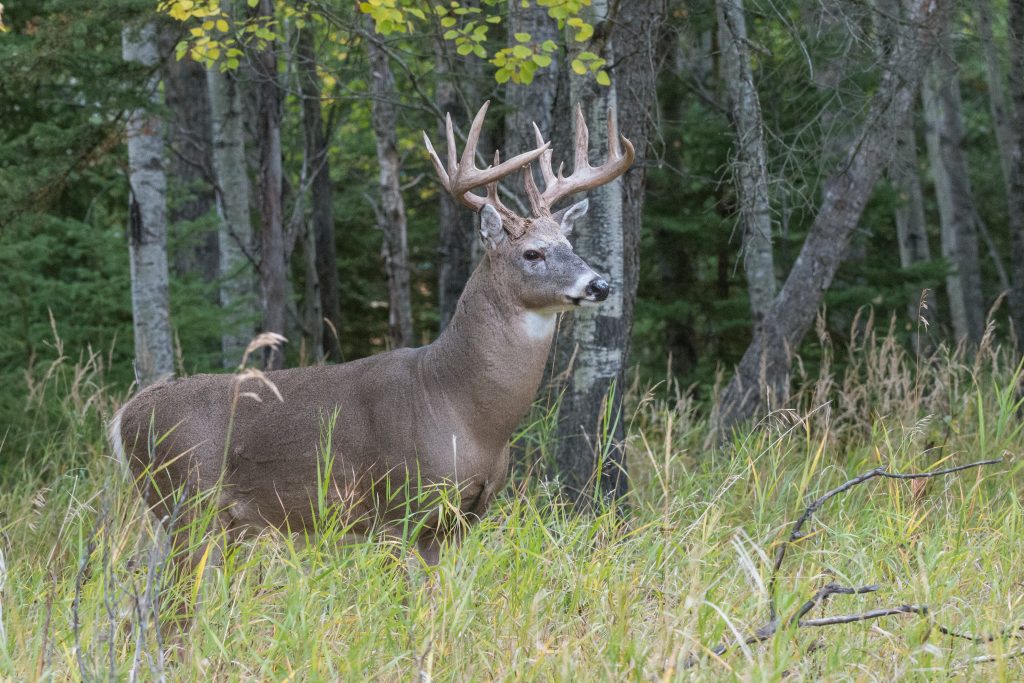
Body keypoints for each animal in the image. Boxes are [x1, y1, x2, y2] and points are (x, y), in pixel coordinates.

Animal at [109, 101, 634, 570]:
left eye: (570, 244)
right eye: (532, 253)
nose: (600, 284)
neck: (463, 407)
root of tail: (122, 418)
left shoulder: (463, 518)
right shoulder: (397, 506)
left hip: (223, 523)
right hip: (184, 502)